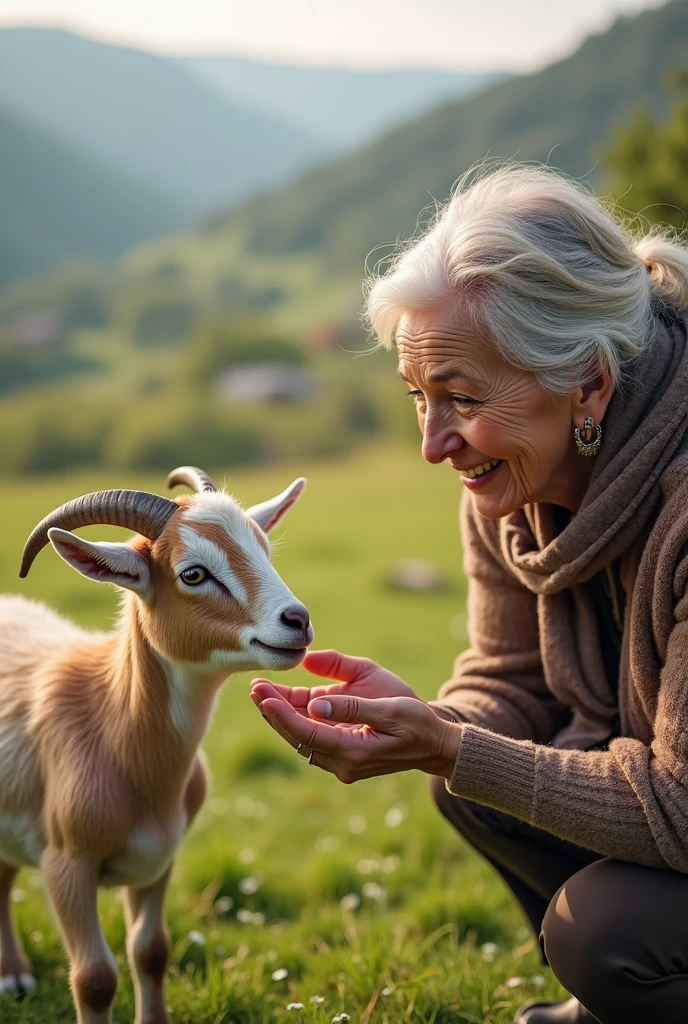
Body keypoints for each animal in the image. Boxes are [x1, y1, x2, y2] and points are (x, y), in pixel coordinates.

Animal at [0, 466, 313, 1024]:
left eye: (263, 549)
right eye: (193, 574)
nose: (297, 622)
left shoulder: (157, 860)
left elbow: (151, 951)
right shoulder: (67, 867)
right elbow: (94, 978)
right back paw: (13, 977)